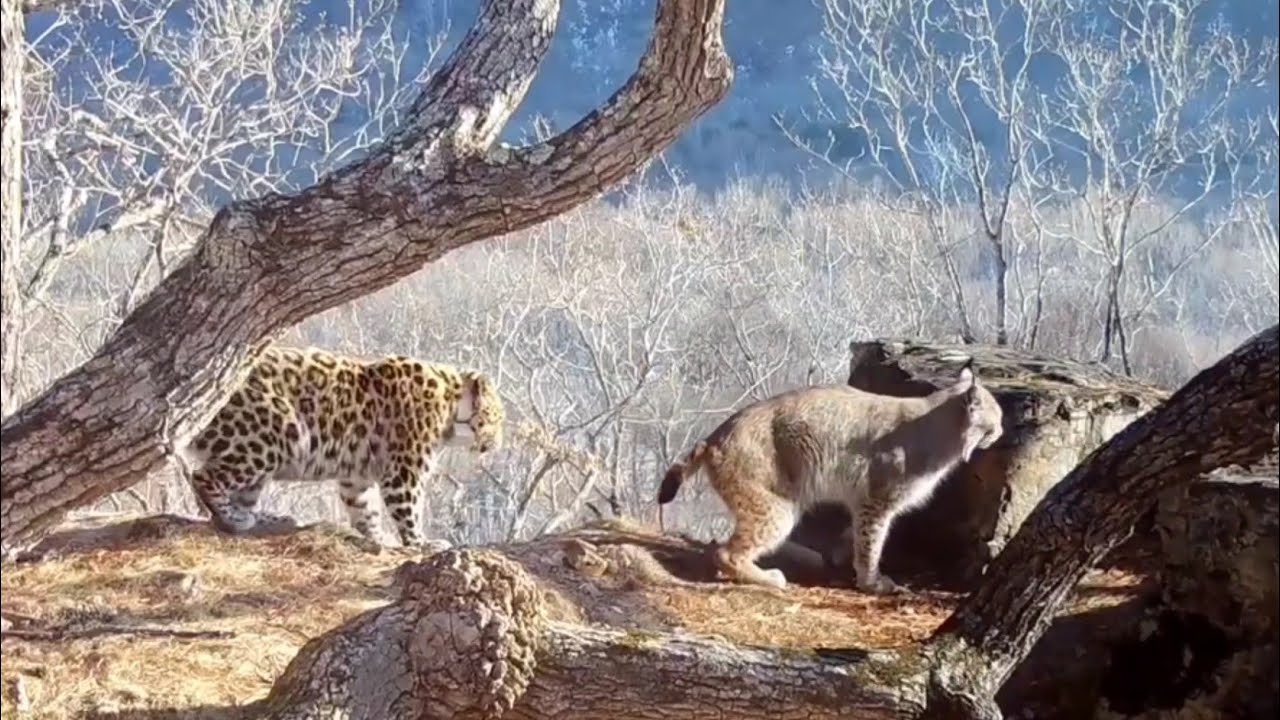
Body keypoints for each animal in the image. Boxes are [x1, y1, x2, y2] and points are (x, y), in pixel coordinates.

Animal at [179, 346, 505, 548]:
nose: (498, 443)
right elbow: (409, 510)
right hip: (273, 432)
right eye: (498, 417)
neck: (450, 401)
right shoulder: (404, 473)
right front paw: (422, 544)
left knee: (241, 493)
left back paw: (266, 518)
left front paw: (380, 539)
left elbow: (365, 509)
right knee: (203, 477)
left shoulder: (357, 477)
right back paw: (232, 518)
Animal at [656, 360, 1003, 594]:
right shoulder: (876, 500)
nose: (1002, 432)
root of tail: (714, 436)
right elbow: (872, 542)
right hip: (777, 507)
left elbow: (856, 535)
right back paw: (770, 579)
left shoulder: (861, 501)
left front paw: (843, 558)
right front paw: (871, 582)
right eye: (996, 419)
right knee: (725, 552)